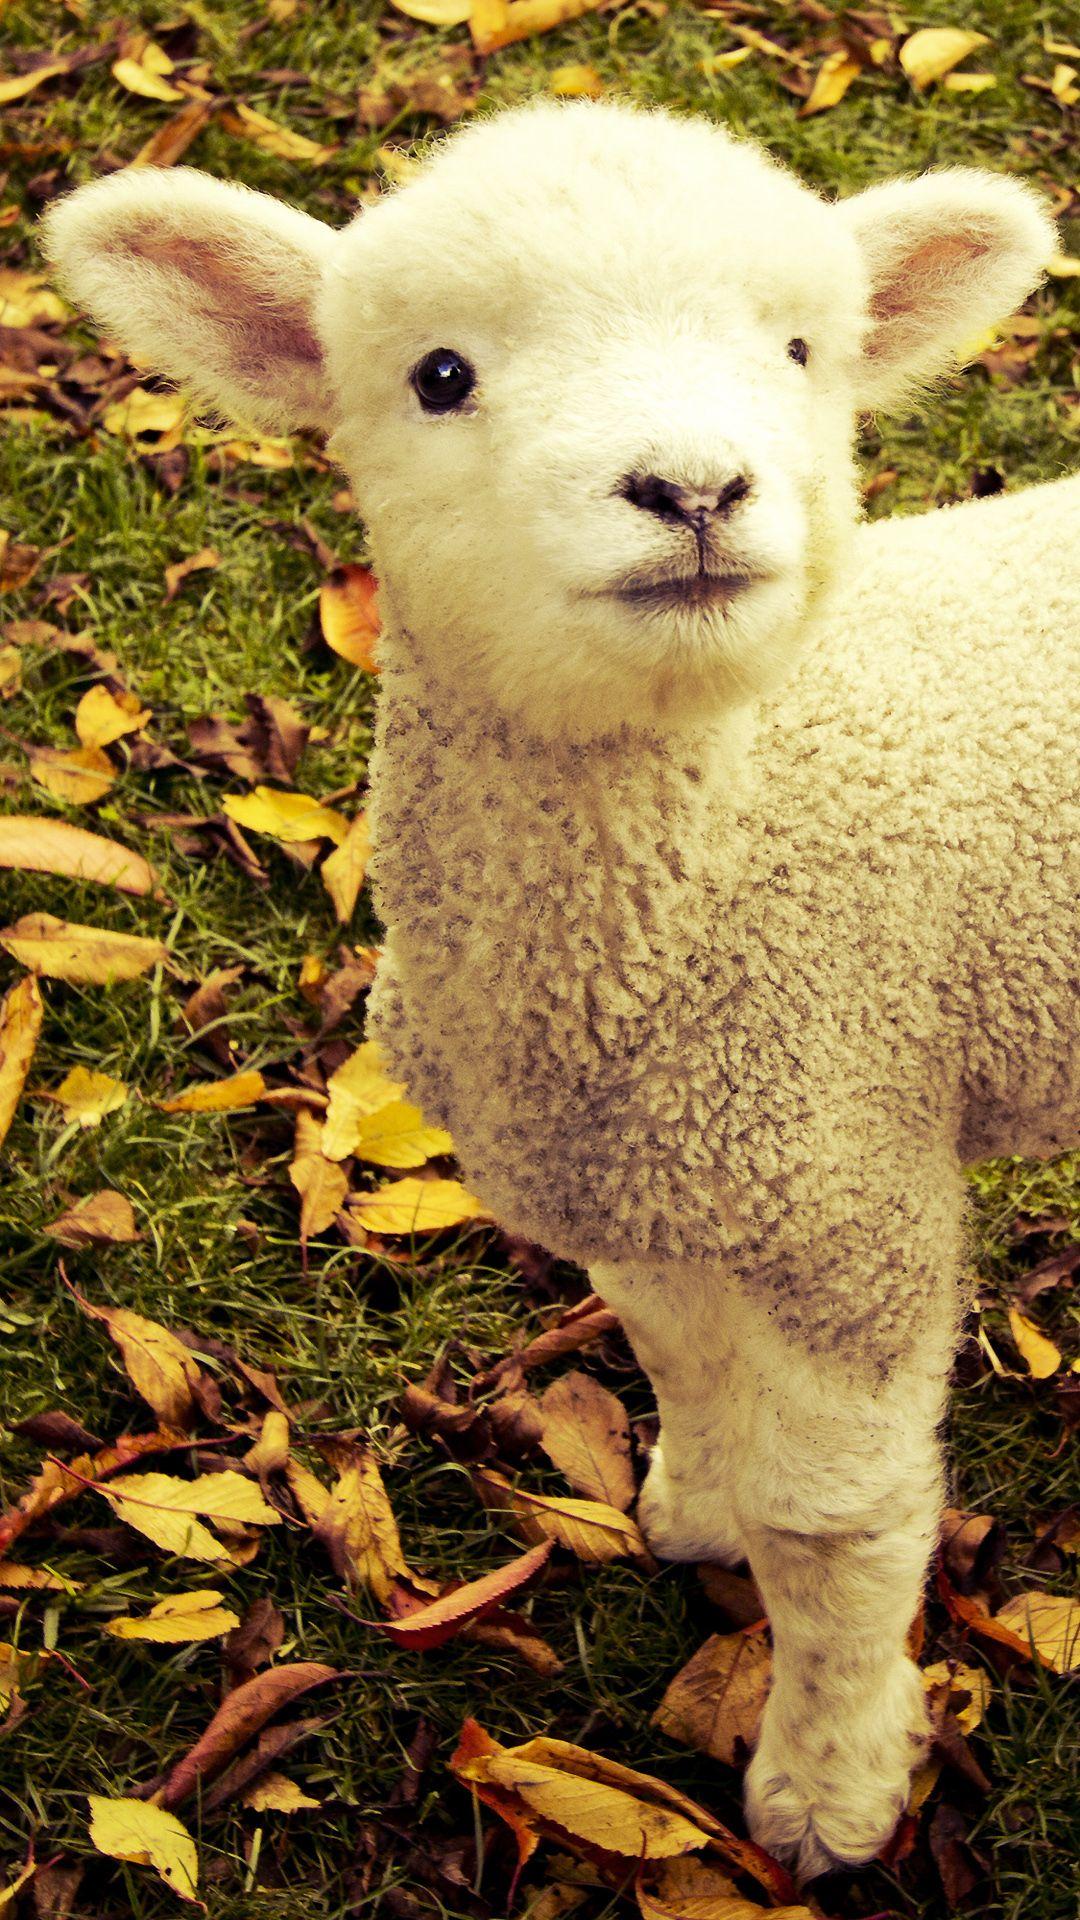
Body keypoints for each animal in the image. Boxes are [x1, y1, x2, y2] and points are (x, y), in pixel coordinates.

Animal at [44, 97, 1079, 1881]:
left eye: (800, 351)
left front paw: (830, 1790)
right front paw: (695, 1505)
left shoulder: (852, 1192)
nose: (695, 486)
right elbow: (675, 1352)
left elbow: (839, 1527)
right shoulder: (657, 1171)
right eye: (441, 375)